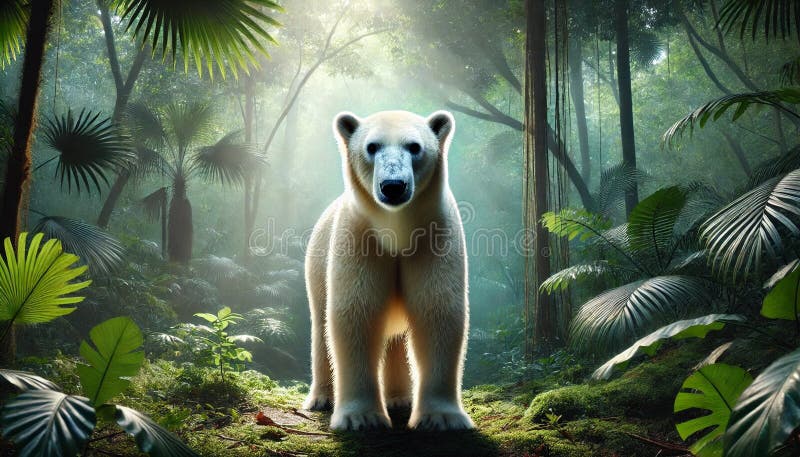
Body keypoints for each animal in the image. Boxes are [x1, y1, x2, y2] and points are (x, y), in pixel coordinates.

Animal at [302, 110, 474, 431]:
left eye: (415, 146)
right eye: (372, 147)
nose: (393, 185)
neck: (396, 230)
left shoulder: (434, 235)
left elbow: (437, 311)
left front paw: (442, 417)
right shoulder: (360, 237)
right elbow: (356, 313)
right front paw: (361, 417)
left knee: (395, 339)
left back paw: (400, 399)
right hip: (316, 264)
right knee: (320, 324)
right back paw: (322, 398)